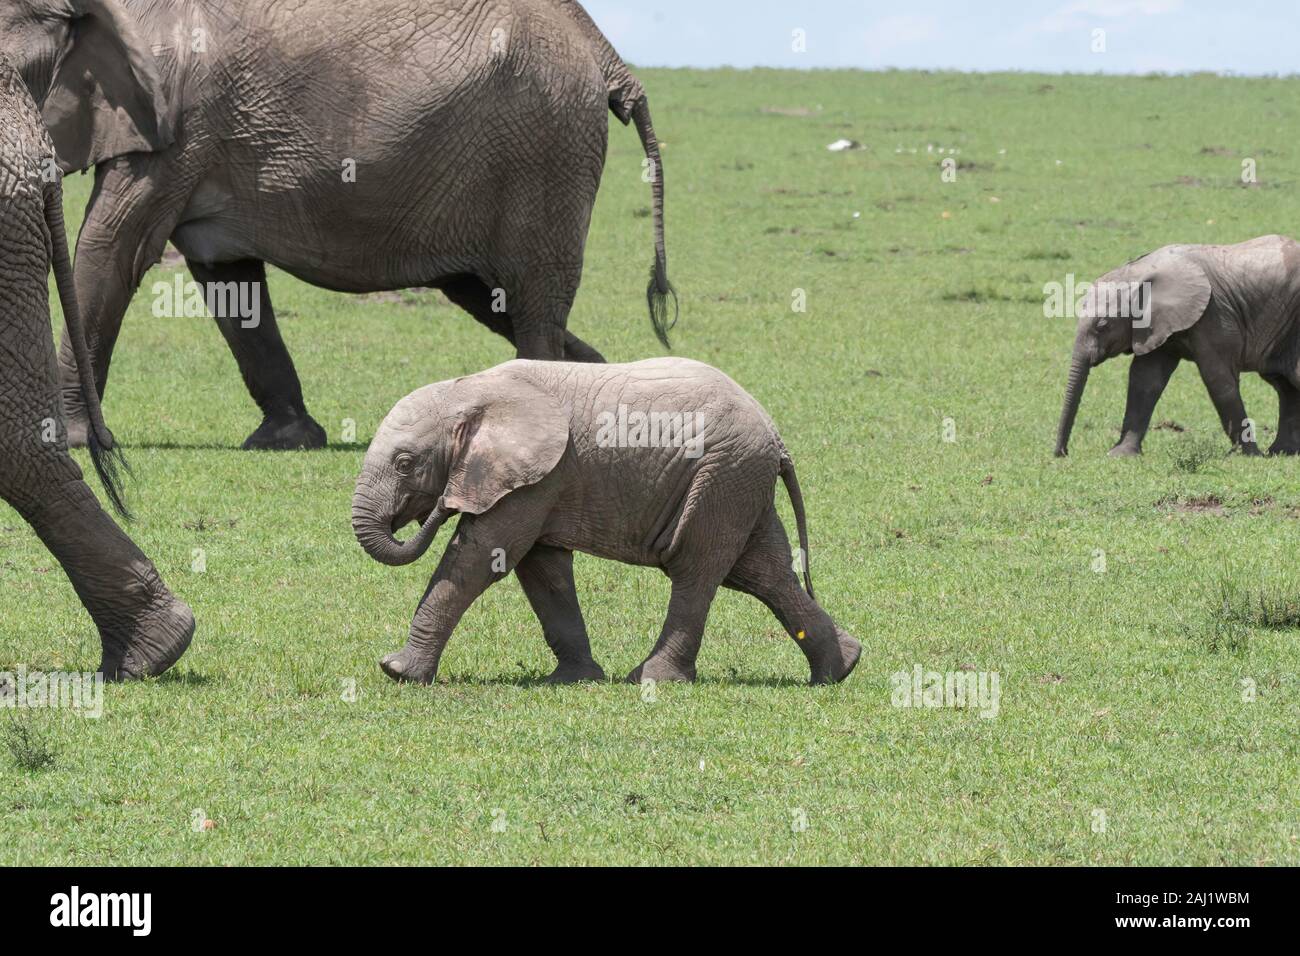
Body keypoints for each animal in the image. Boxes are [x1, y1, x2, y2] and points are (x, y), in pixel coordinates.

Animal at [0, 0, 674, 451]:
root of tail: (606, 55)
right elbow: (228, 279)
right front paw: (286, 440)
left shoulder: (175, 125)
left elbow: (110, 249)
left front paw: (75, 439)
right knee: (491, 297)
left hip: (544, 150)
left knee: (531, 301)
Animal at [351, 358, 863, 686]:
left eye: (404, 463)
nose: (444, 504)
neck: (470, 389)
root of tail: (775, 436)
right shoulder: (542, 480)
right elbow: (541, 569)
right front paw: (573, 680)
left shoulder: (541, 476)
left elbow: (483, 557)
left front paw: (397, 673)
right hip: (741, 483)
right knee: (761, 571)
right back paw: (840, 669)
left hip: (722, 475)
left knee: (695, 569)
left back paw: (653, 681)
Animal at [1055, 235, 1300, 458]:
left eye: (1102, 325)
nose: (1062, 453)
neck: (1138, 272)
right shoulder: (1156, 326)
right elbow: (1144, 380)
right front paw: (1121, 455)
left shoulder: (1214, 314)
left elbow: (1218, 380)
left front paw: (1247, 456)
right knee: (1284, 386)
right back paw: (1282, 452)